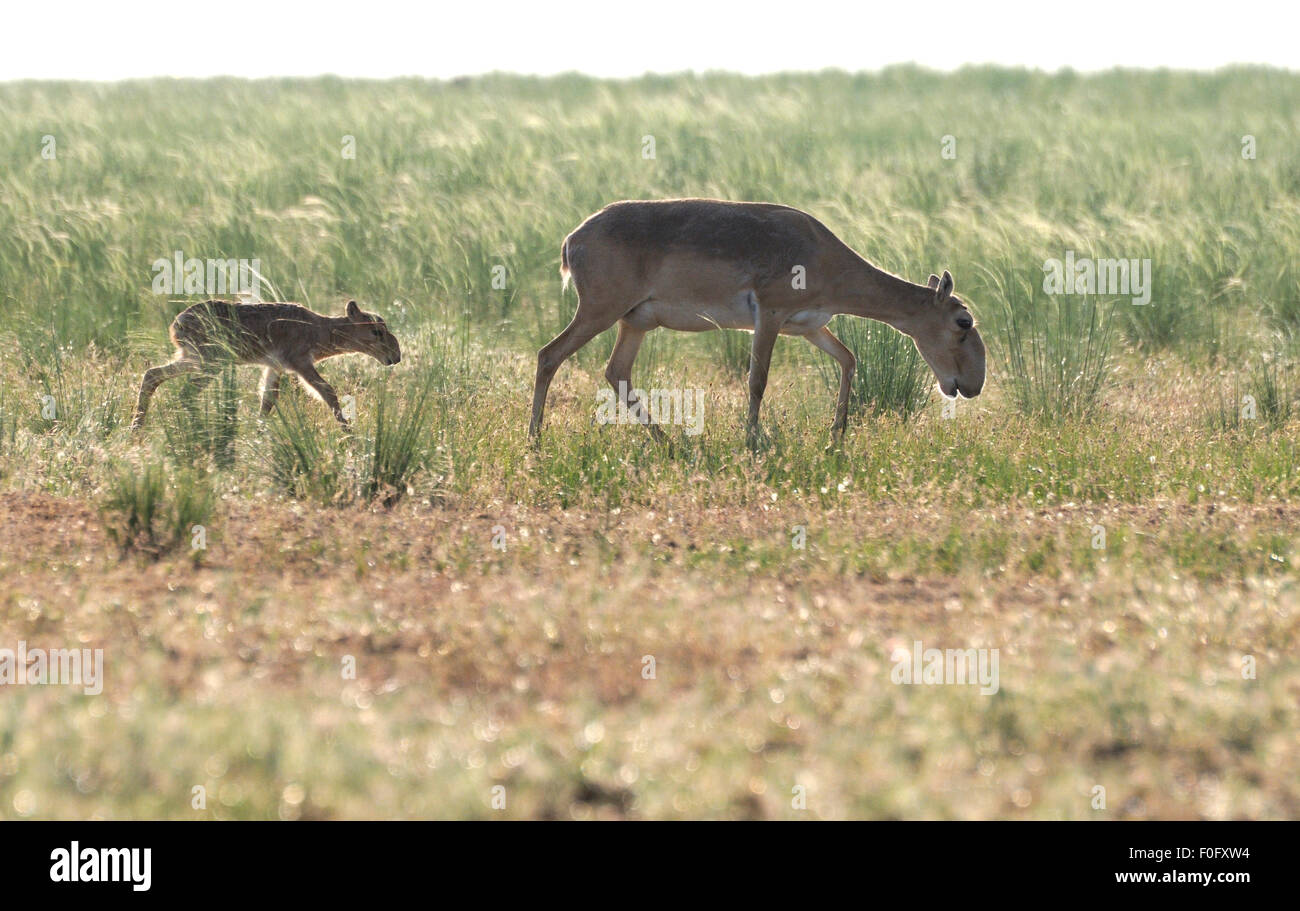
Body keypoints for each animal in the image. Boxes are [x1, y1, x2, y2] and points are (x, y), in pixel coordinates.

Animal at [131, 299, 401, 430]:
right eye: (376, 331)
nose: (396, 355)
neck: (321, 330)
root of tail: (176, 324)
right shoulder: (300, 364)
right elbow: (328, 393)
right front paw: (348, 433)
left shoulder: (275, 368)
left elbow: (267, 402)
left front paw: (258, 434)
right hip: (210, 363)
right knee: (185, 394)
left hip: (192, 359)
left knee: (152, 375)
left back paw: (136, 427)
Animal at [530, 198, 985, 443]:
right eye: (963, 321)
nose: (973, 385)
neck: (824, 253)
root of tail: (572, 239)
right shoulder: (768, 315)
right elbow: (757, 381)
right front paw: (752, 439)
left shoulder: (809, 325)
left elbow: (848, 359)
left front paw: (836, 435)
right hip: (599, 311)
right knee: (549, 355)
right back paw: (534, 439)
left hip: (634, 322)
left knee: (616, 371)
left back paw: (667, 441)